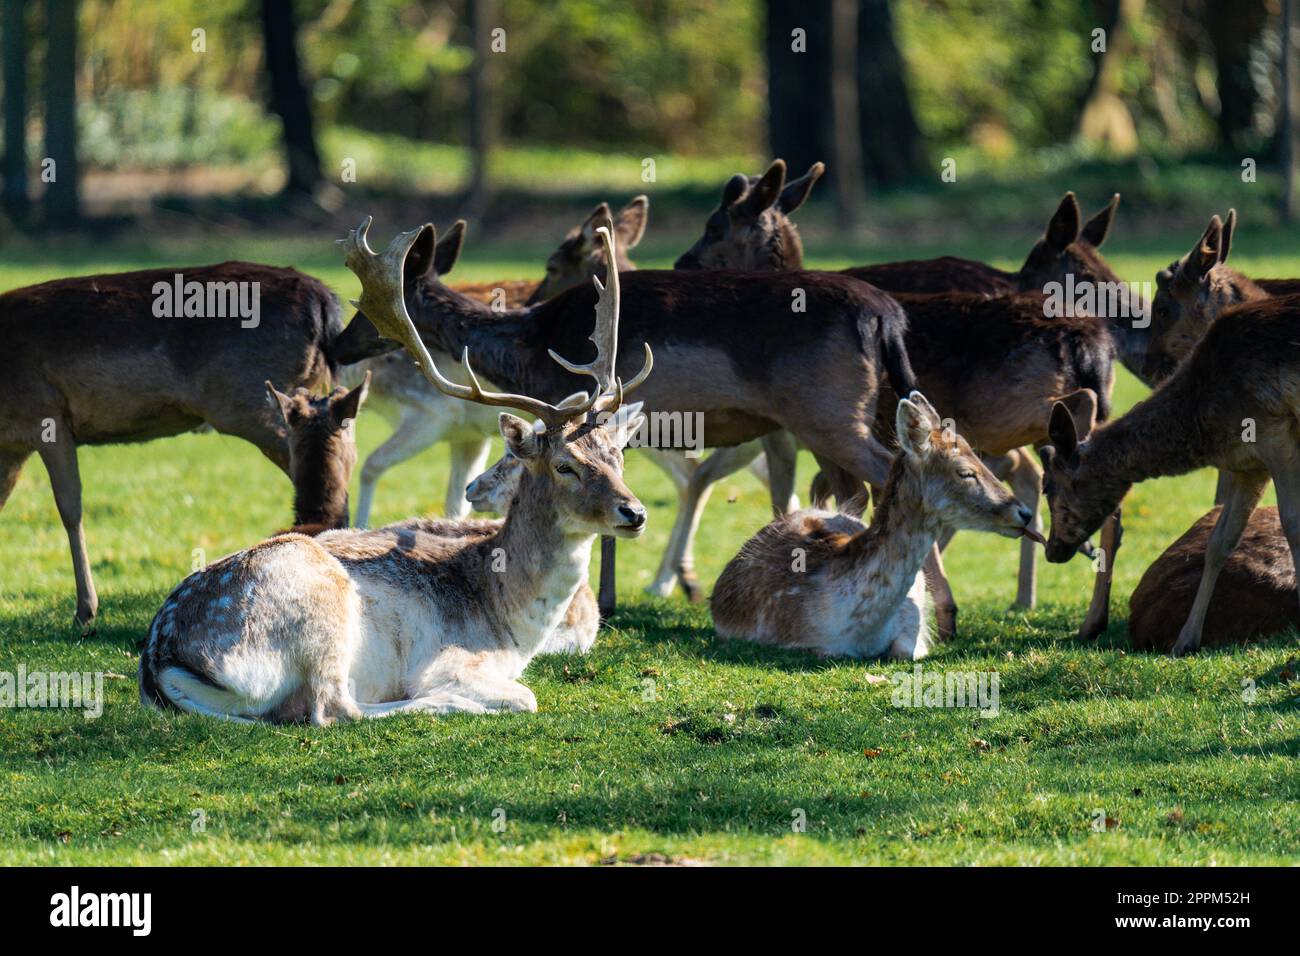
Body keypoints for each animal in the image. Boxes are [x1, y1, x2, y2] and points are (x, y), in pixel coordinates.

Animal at [1, 261, 342, 632]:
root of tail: (325, 301)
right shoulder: (12, 447)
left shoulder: (46, 413)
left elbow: (69, 507)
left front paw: (85, 611)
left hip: (251, 400)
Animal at [138, 222, 649, 723]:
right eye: (565, 466)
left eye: (617, 457)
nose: (635, 513)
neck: (512, 621)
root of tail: (159, 662)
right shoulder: (451, 658)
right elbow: (525, 695)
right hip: (320, 610)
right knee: (333, 708)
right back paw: (443, 703)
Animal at [1040, 292, 1300, 655]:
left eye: (1048, 487)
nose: (1052, 550)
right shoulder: (1247, 463)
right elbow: (1220, 542)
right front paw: (1185, 640)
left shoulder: (1275, 430)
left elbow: (1292, 524)